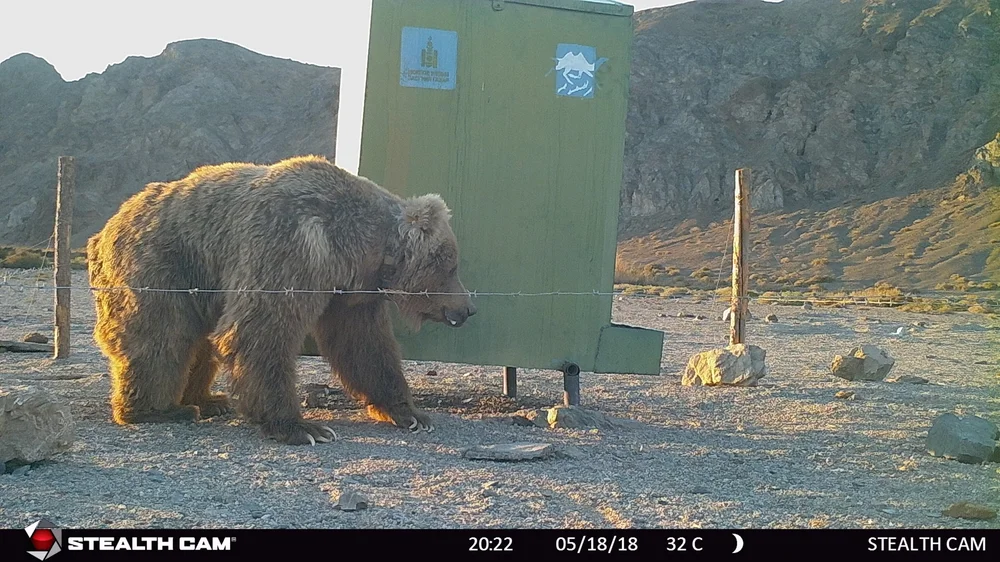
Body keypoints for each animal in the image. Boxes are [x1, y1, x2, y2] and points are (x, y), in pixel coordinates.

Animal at [86, 155, 476, 445]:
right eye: (451, 265)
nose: (469, 308)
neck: (351, 248)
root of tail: (104, 228)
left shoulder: (350, 295)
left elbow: (365, 346)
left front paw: (410, 413)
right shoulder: (289, 250)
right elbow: (260, 331)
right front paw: (303, 428)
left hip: (200, 285)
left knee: (197, 342)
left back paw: (207, 401)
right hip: (161, 266)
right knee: (161, 337)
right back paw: (160, 409)